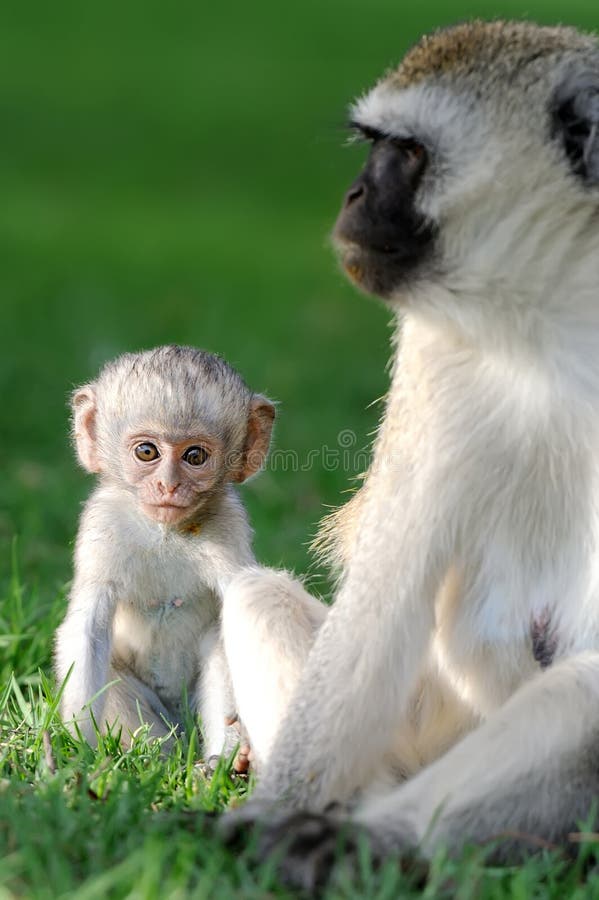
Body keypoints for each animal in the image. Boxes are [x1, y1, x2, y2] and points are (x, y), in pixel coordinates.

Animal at [54, 344, 277, 769]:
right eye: (147, 452)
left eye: (195, 456)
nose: (168, 485)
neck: (163, 534)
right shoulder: (101, 526)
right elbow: (89, 628)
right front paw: (79, 755)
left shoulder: (228, 526)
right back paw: (157, 760)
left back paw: (223, 762)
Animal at [219, 19, 599, 889]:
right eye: (376, 150)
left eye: (409, 155)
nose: (352, 198)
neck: (554, 330)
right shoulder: (435, 351)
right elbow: (379, 607)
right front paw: (282, 813)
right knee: (259, 595)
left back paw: (379, 842)